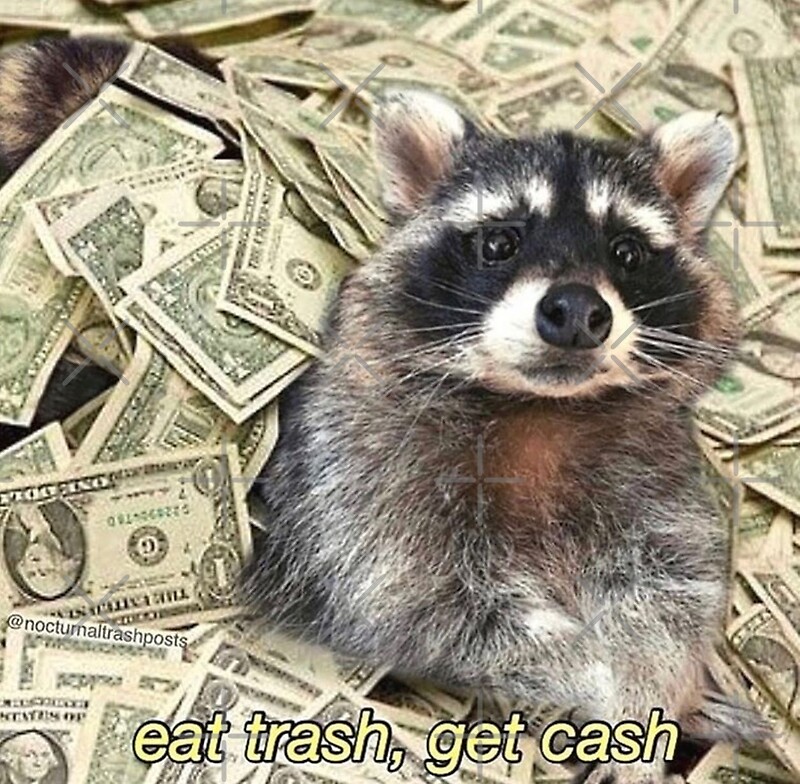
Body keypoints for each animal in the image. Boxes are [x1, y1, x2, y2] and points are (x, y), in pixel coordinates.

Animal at [0, 38, 770, 783]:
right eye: (500, 241)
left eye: (627, 251)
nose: (578, 312)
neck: (539, 409)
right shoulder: (353, 479)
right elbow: (428, 610)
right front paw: (592, 679)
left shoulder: (652, 471)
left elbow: (668, 589)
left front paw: (654, 681)